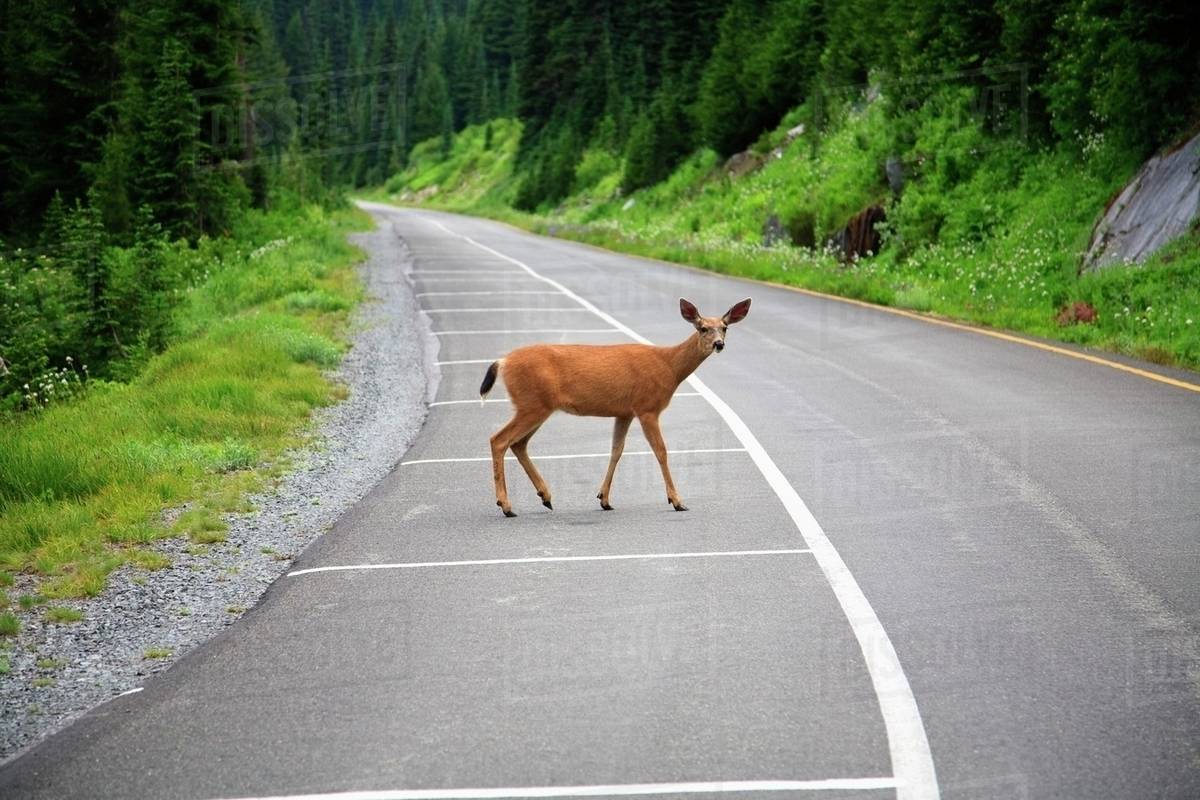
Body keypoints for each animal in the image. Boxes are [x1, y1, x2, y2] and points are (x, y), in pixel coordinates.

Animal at [479, 297, 752, 517]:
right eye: (703, 328)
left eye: (725, 328)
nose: (719, 344)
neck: (669, 367)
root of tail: (502, 362)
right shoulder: (647, 407)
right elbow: (661, 451)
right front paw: (676, 501)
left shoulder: (624, 412)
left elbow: (616, 450)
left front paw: (604, 499)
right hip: (532, 403)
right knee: (499, 439)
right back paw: (506, 505)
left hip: (538, 406)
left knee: (518, 443)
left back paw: (545, 497)